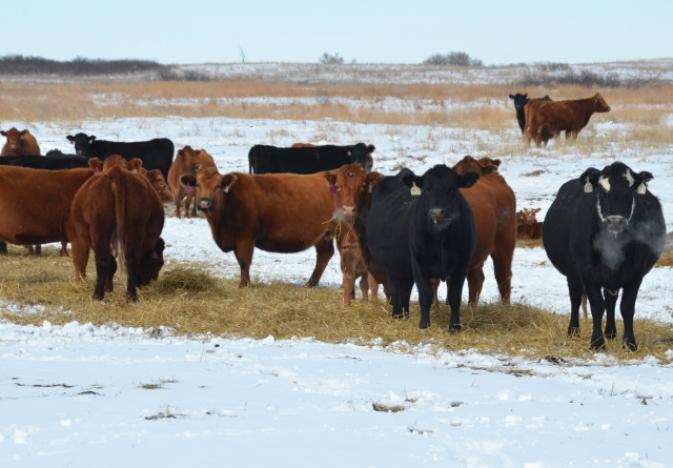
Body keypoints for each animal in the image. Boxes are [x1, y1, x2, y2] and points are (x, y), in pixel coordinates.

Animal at [68, 157, 165, 300]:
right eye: (158, 263)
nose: (147, 283)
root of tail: (116, 171)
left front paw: (108, 289)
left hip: (99, 228)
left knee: (103, 260)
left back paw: (98, 295)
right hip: (134, 225)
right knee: (131, 259)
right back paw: (131, 296)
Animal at [180, 167, 337, 287]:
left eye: (218, 186)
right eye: (197, 185)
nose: (204, 203)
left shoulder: (246, 238)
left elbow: (244, 261)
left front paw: (244, 285)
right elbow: (240, 261)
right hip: (323, 236)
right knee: (324, 254)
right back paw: (310, 283)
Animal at [366, 165, 478, 330]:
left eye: (452, 188)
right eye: (426, 188)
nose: (437, 212)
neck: (441, 239)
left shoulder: (462, 263)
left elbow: (454, 297)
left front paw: (455, 326)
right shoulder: (418, 261)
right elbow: (425, 295)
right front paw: (424, 325)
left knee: (405, 291)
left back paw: (405, 315)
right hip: (393, 266)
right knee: (396, 291)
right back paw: (397, 315)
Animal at [543, 162, 665, 350]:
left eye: (630, 190)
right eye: (601, 191)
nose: (615, 221)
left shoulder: (635, 273)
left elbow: (626, 307)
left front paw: (629, 343)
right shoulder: (587, 272)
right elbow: (596, 306)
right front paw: (597, 343)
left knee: (610, 301)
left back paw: (611, 332)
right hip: (573, 273)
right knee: (575, 298)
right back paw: (573, 330)